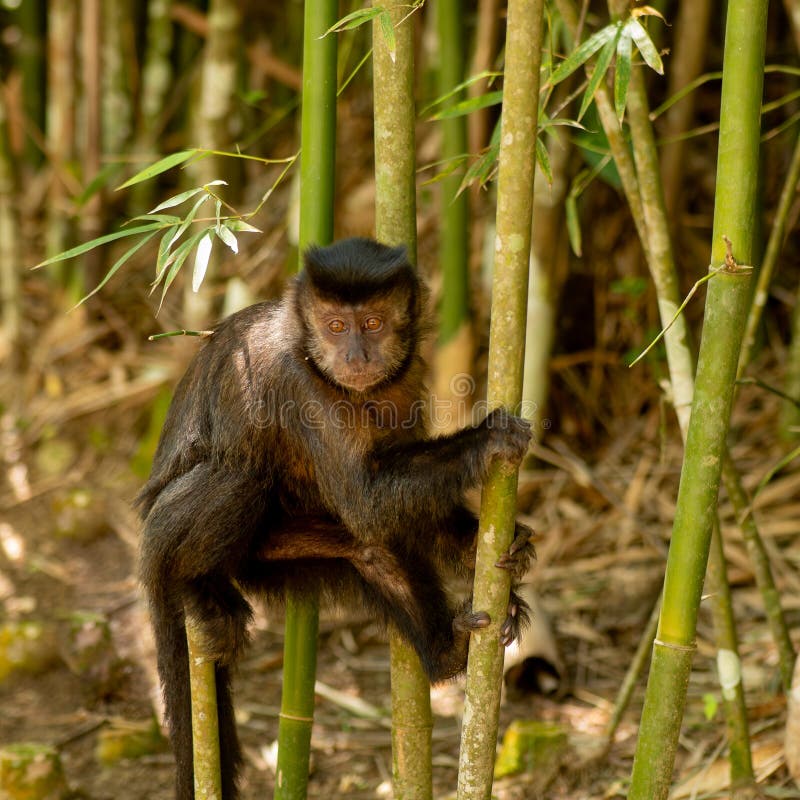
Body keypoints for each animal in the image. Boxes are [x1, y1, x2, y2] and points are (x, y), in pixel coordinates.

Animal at [136, 237, 534, 800]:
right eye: (336, 327)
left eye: (371, 323)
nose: (355, 354)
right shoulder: (300, 383)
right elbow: (363, 496)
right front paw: (485, 439)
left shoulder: (408, 377)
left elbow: (393, 511)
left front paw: (486, 543)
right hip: (164, 532)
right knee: (238, 475)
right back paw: (195, 585)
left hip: (275, 552)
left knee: (369, 548)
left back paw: (447, 651)